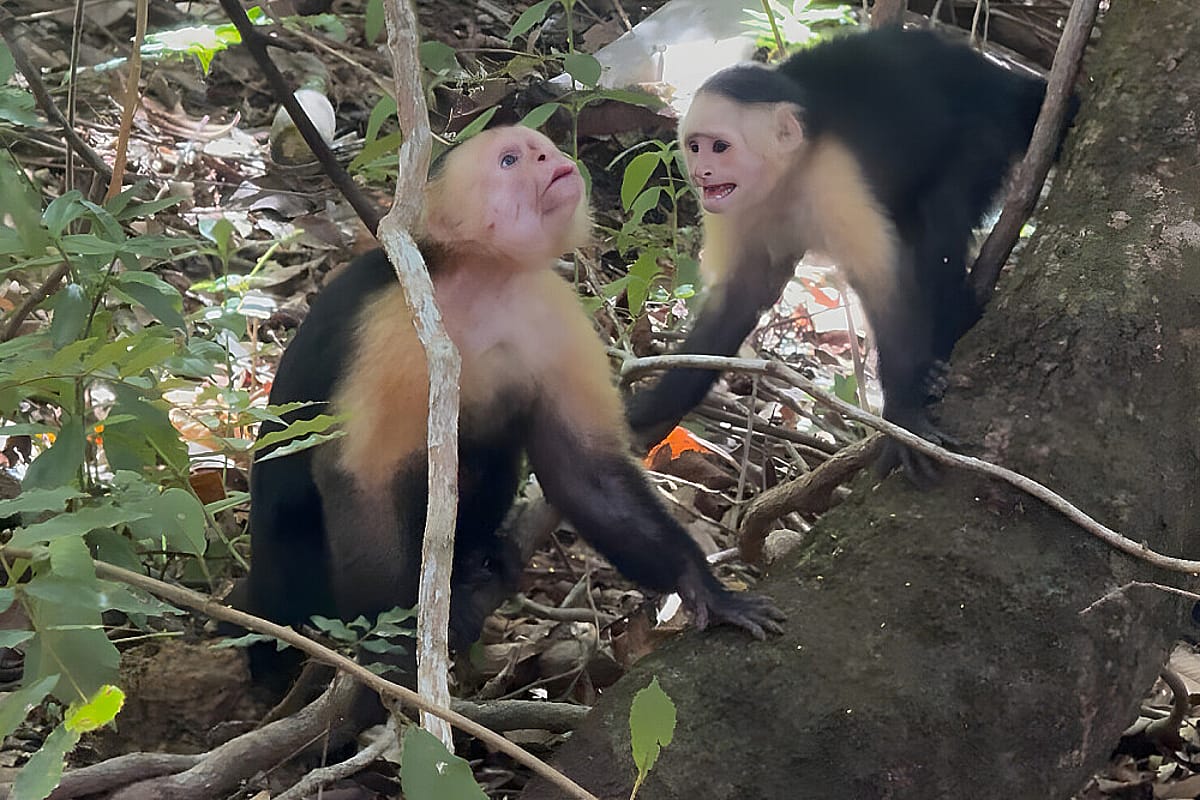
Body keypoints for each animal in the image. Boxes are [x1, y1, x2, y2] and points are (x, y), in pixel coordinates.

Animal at [240, 126, 784, 687]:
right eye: (509, 161)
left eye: (539, 147)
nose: (549, 156)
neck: (483, 277)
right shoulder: (390, 324)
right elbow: (359, 478)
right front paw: (394, 639)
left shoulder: (552, 310)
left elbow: (586, 474)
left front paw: (704, 587)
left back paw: (478, 559)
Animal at [625, 28, 1069, 481]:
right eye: (695, 146)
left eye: (720, 146)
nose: (702, 173)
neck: (789, 174)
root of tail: (987, 72)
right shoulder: (735, 210)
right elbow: (739, 301)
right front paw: (653, 408)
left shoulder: (834, 177)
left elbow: (882, 280)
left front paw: (903, 411)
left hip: (983, 131)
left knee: (941, 216)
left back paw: (946, 338)